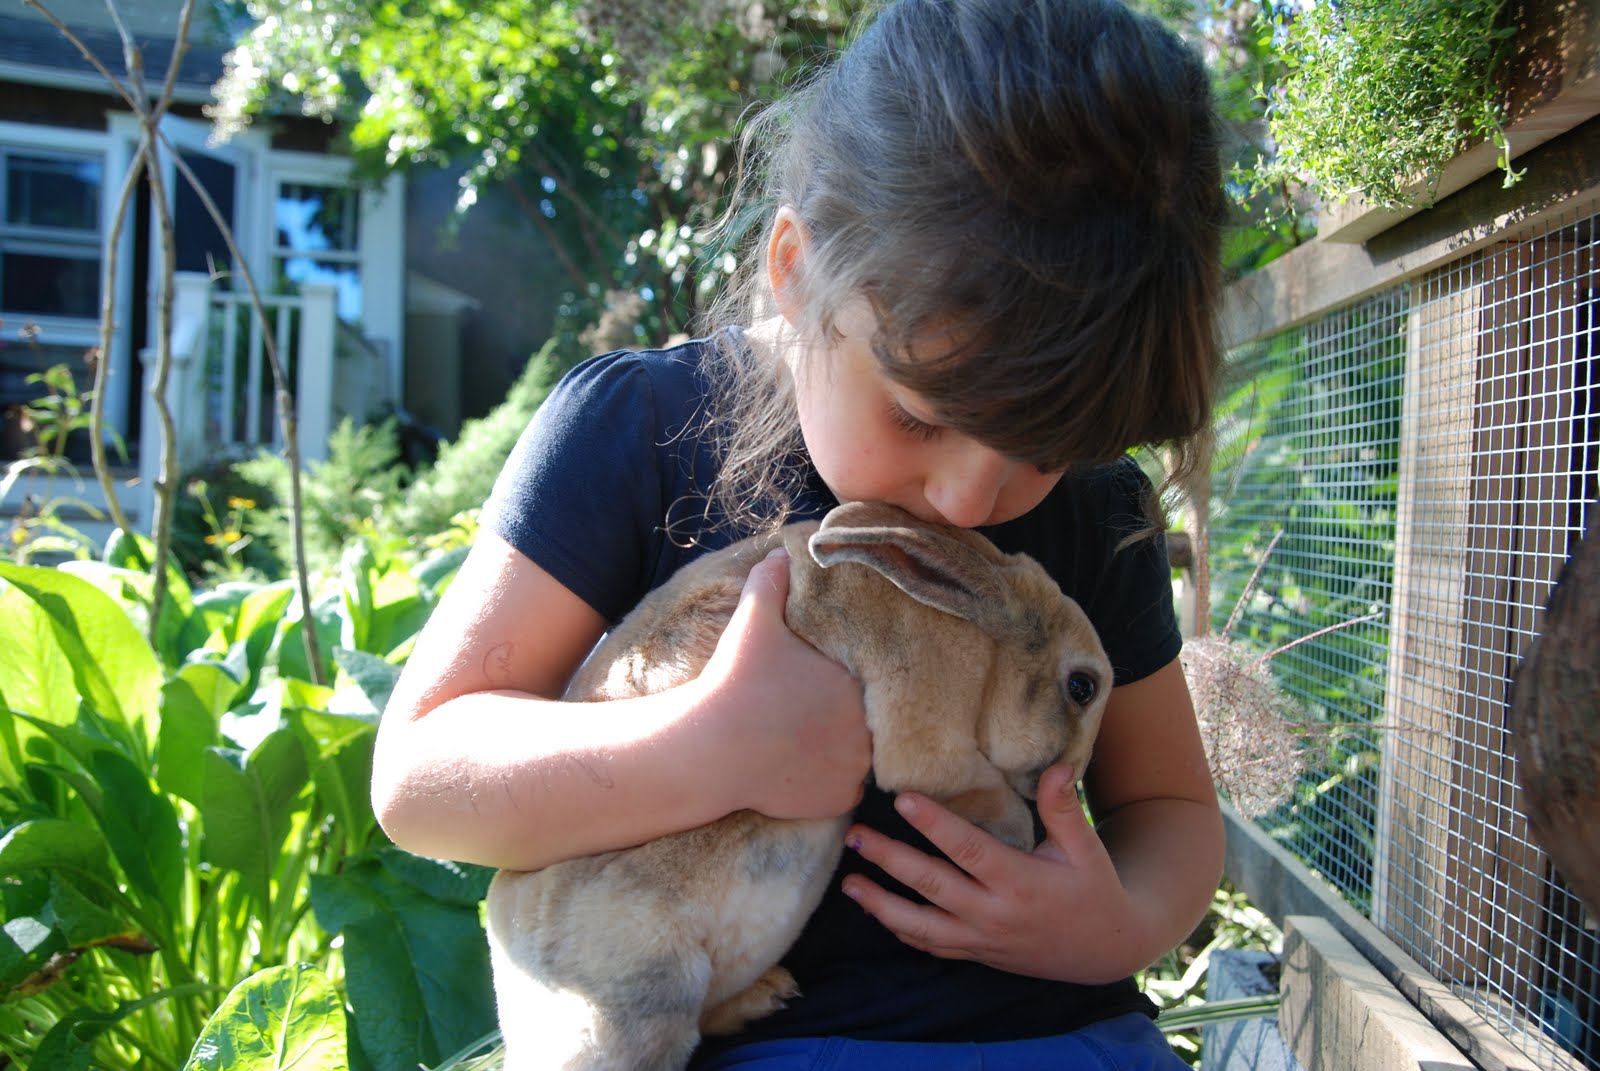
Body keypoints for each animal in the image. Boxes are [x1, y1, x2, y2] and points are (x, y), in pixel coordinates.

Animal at [484, 500, 1113, 1071]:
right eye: (1082, 687)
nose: (1065, 779)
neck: (982, 639)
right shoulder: (924, 708)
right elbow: (961, 782)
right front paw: (1019, 836)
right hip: (646, 995)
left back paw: (771, 995)